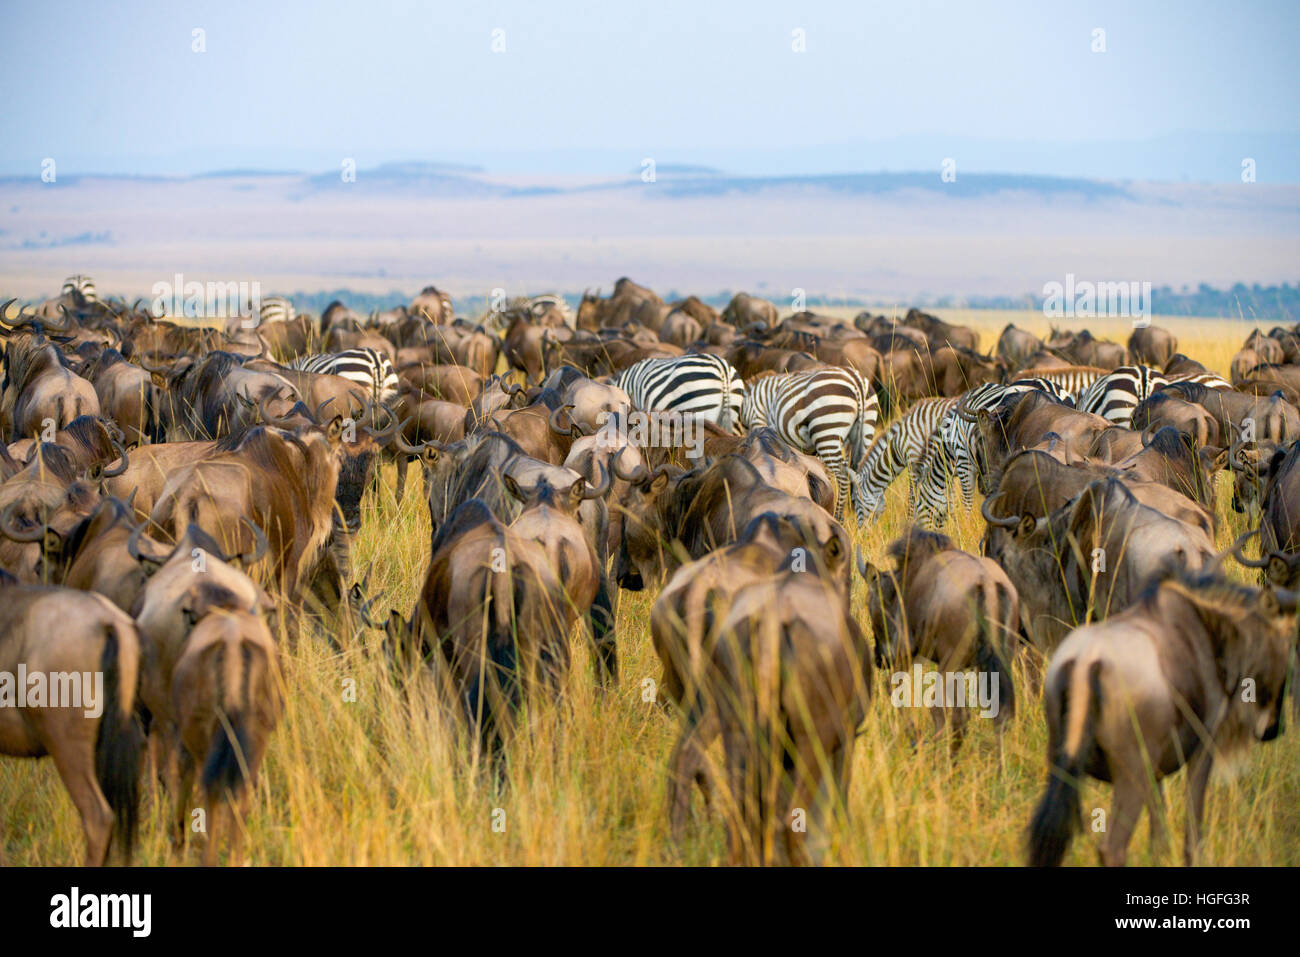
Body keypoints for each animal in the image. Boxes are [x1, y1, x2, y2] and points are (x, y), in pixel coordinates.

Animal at [741, 368, 879, 519]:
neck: (763, 398)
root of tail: (856, 380)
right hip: (864, 432)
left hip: (827, 430)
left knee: (842, 477)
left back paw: (838, 515)